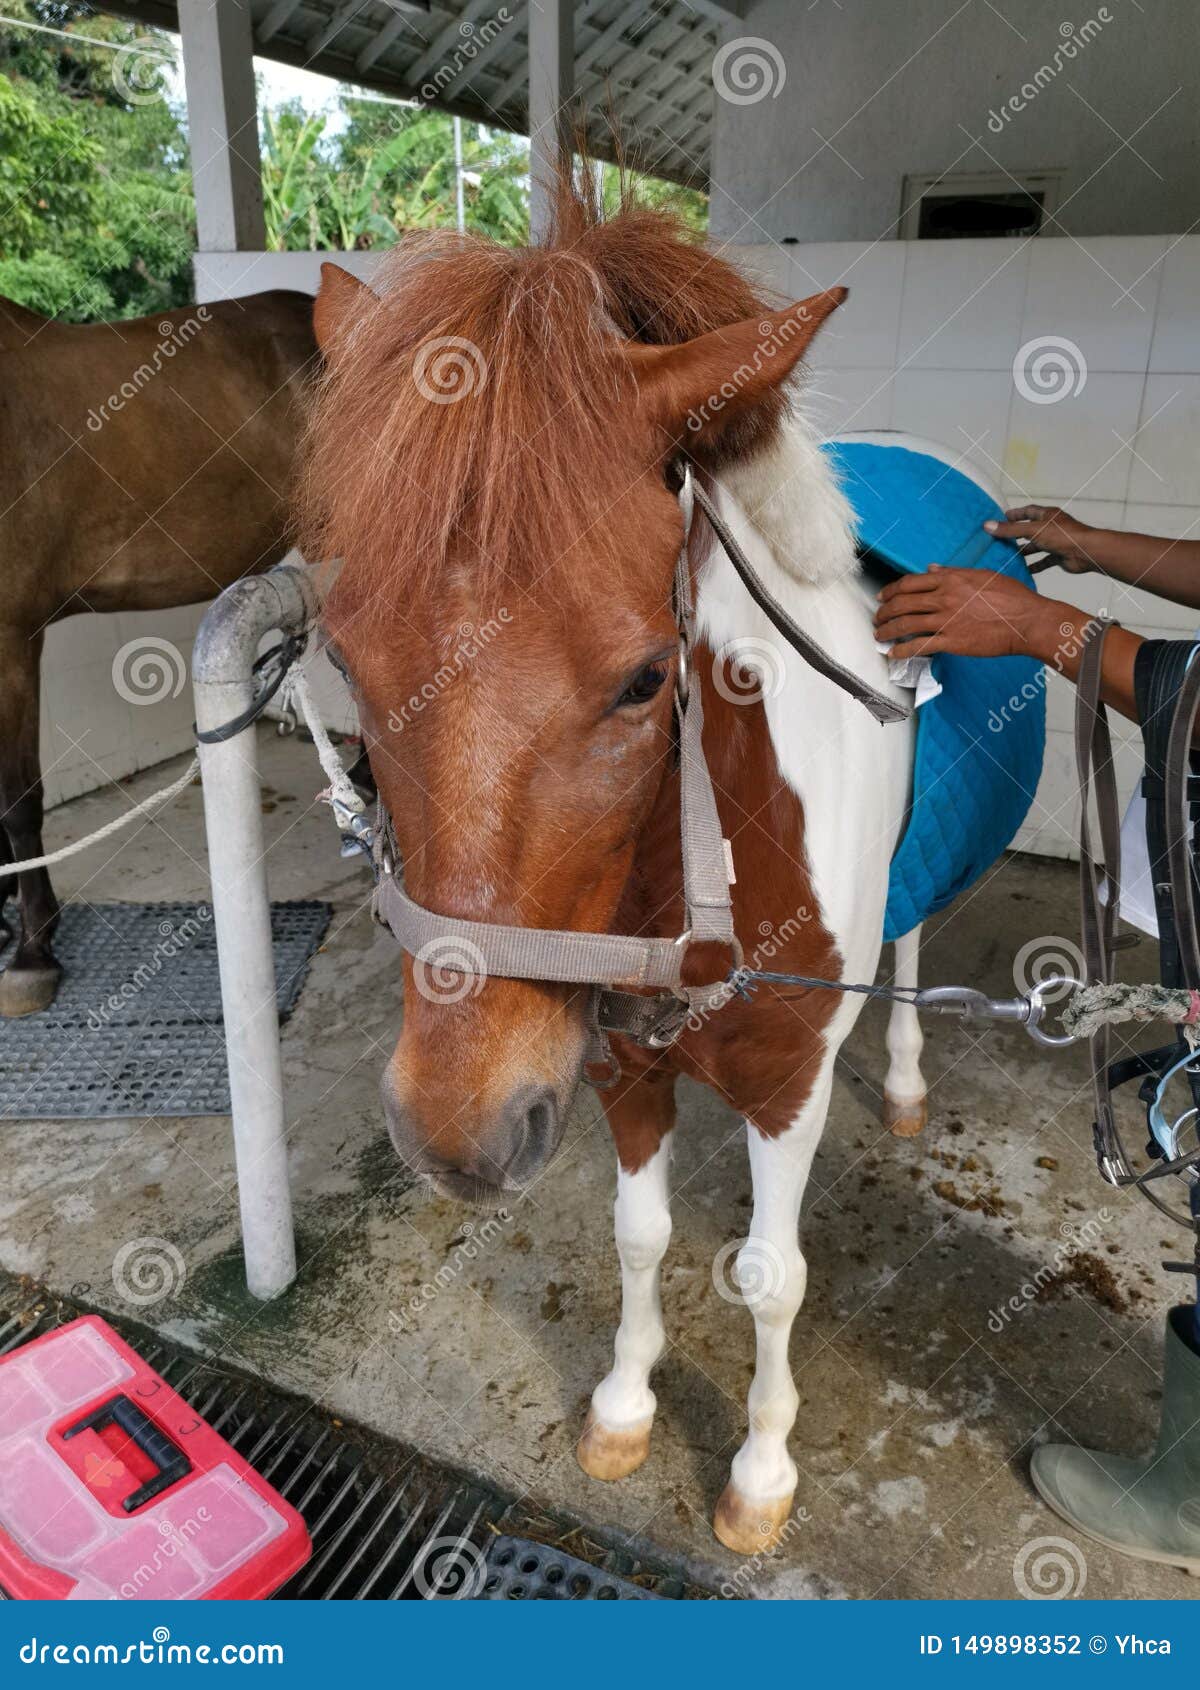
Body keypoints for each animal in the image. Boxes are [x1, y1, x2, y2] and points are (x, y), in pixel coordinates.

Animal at [300, 181, 928, 1555]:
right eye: (348, 662)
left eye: (647, 678)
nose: (456, 1135)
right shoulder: (614, 1066)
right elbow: (639, 1236)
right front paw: (626, 1406)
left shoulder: (789, 1086)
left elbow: (770, 1278)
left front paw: (759, 1473)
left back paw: (909, 1073)